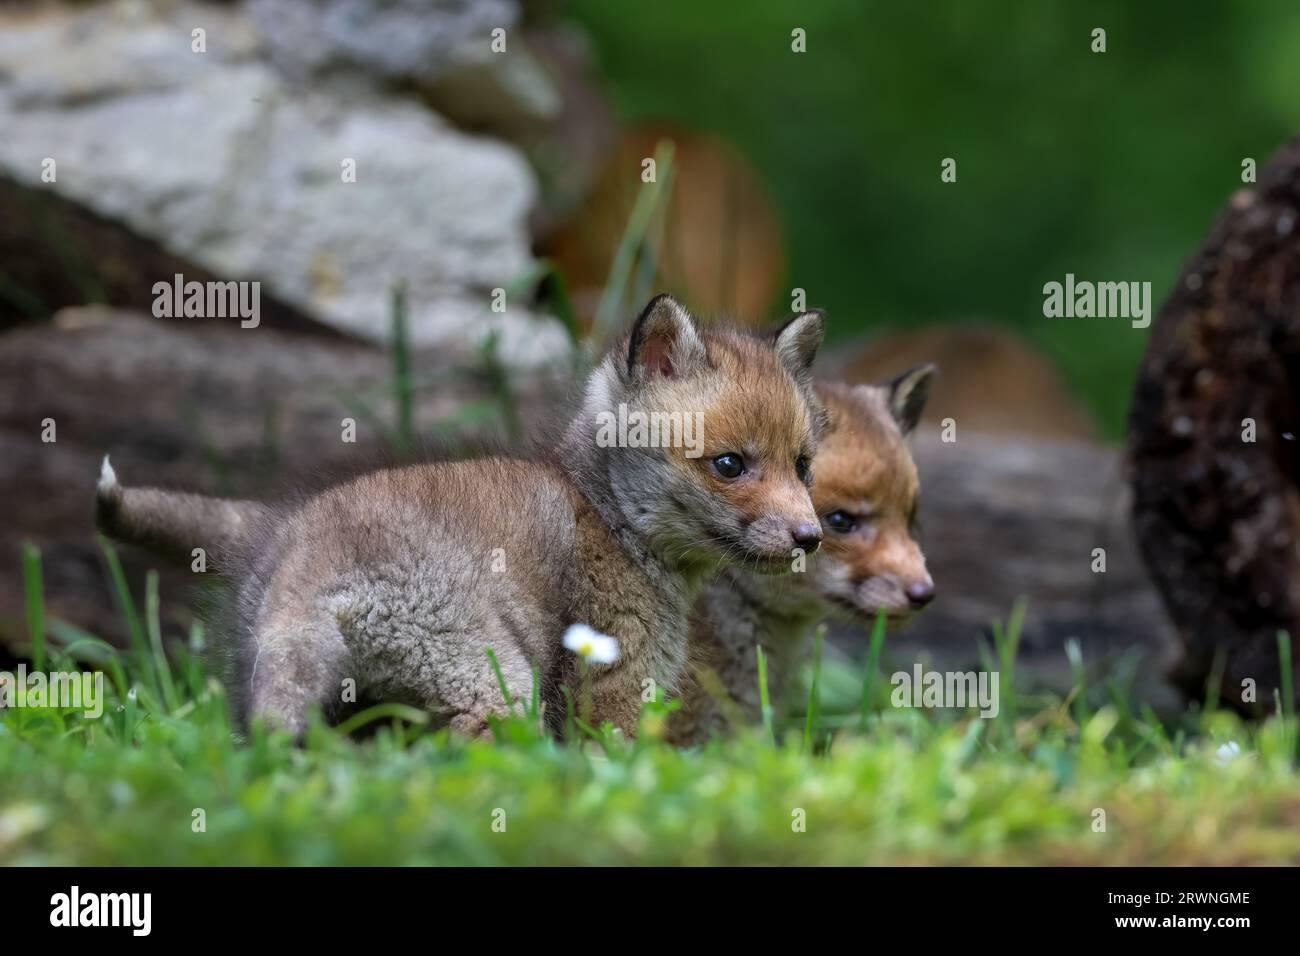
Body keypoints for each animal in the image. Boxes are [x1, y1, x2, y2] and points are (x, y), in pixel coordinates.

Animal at [95, 295, 828, 738]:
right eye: (729, 465)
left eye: (803, 466)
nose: (811, 538)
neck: (609, 514)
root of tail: (309, 562)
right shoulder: (611, 684)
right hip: (494, 692)